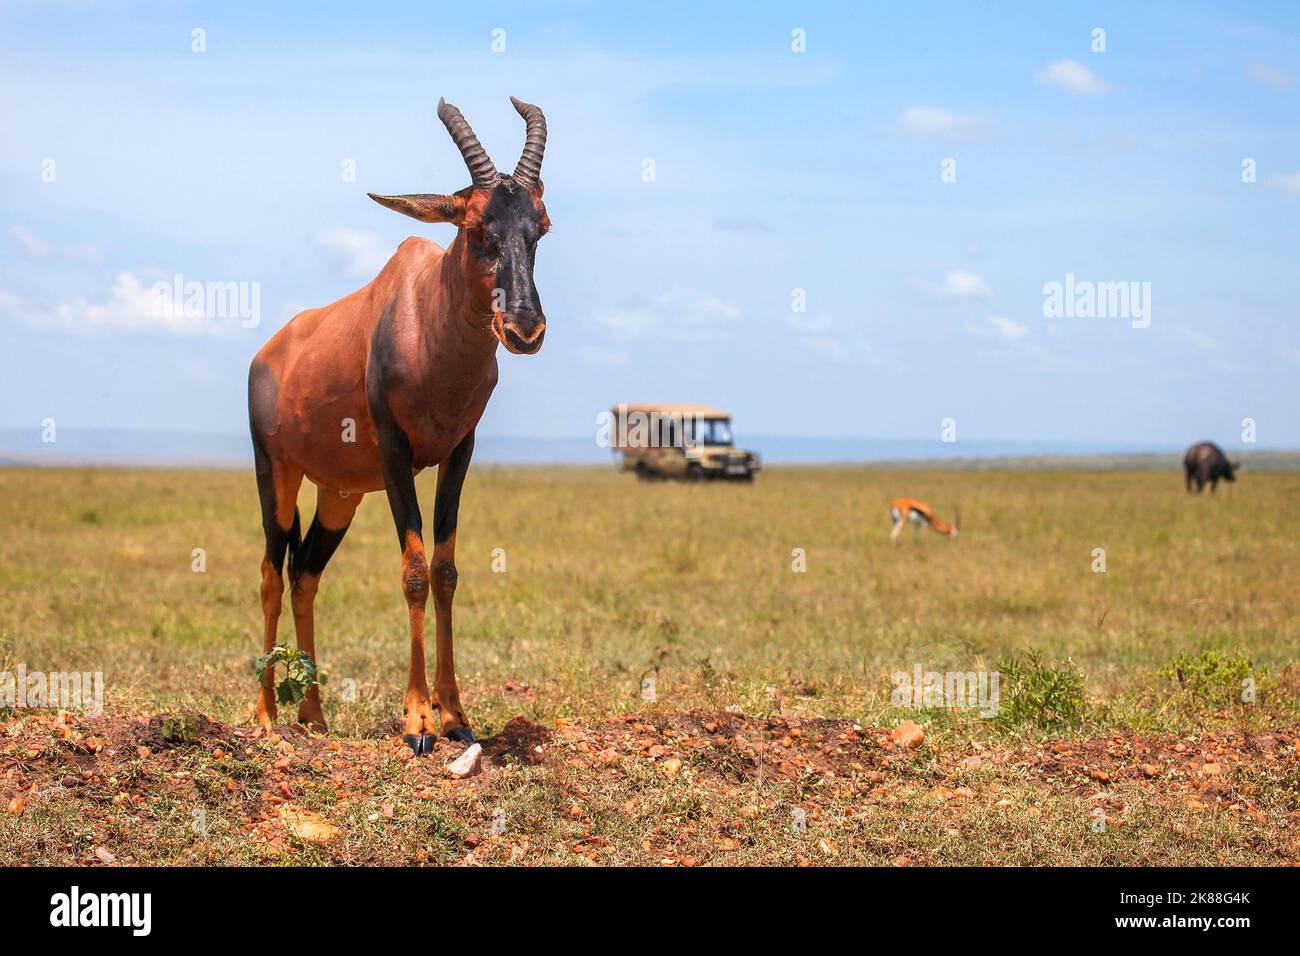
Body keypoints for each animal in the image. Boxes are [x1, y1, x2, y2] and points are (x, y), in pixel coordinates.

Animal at [248, 97, 550, 754]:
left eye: (540, 226)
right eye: (474, 227)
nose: (525, 330)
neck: (424, 314)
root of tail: (270, 351)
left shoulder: (459, 451)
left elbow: (445, 570)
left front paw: (455, 715)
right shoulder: (395, 455)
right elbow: (412, 572)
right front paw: (416, 723)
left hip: (339, 493)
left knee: (305, 575)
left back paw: (313, 715)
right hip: (275, 473)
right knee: (270, 573)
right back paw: (266, 717)